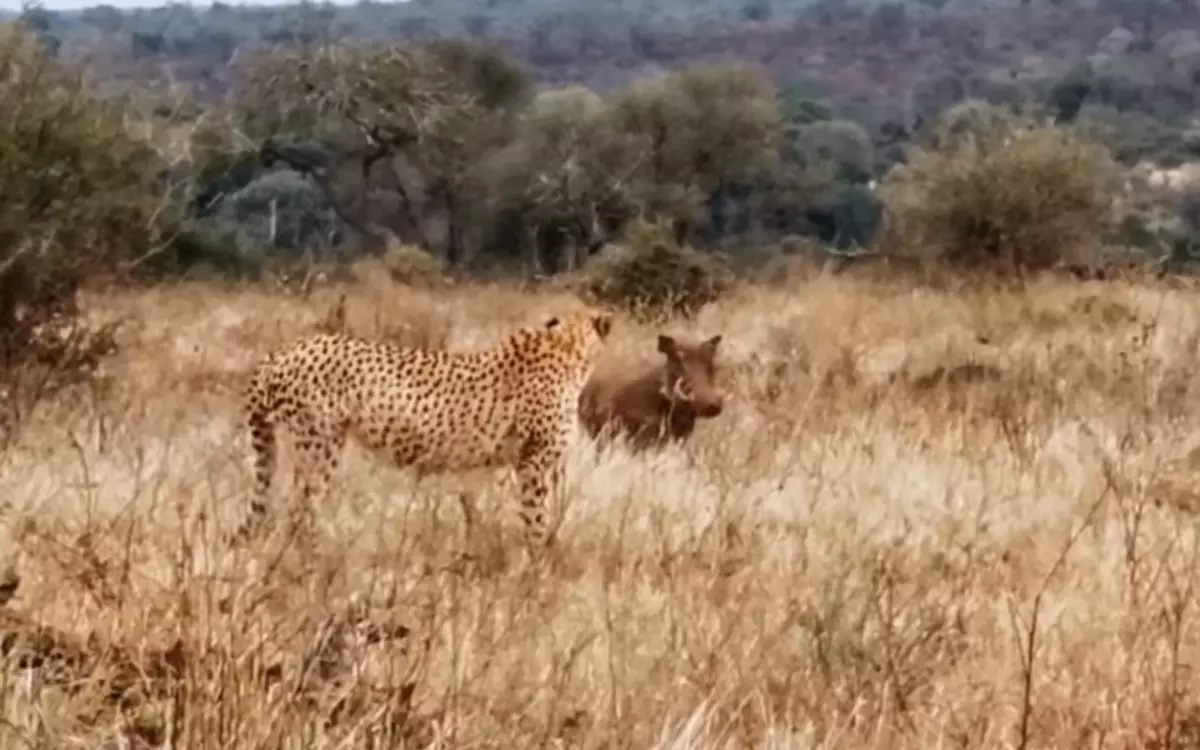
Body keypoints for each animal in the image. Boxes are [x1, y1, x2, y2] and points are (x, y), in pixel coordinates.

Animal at [230, 307, 614, 547]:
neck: (567, 345)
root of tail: (286, 348)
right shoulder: (533, 463)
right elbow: (537, 520)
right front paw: (536, 569)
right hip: (319, 447)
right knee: (298, 509)